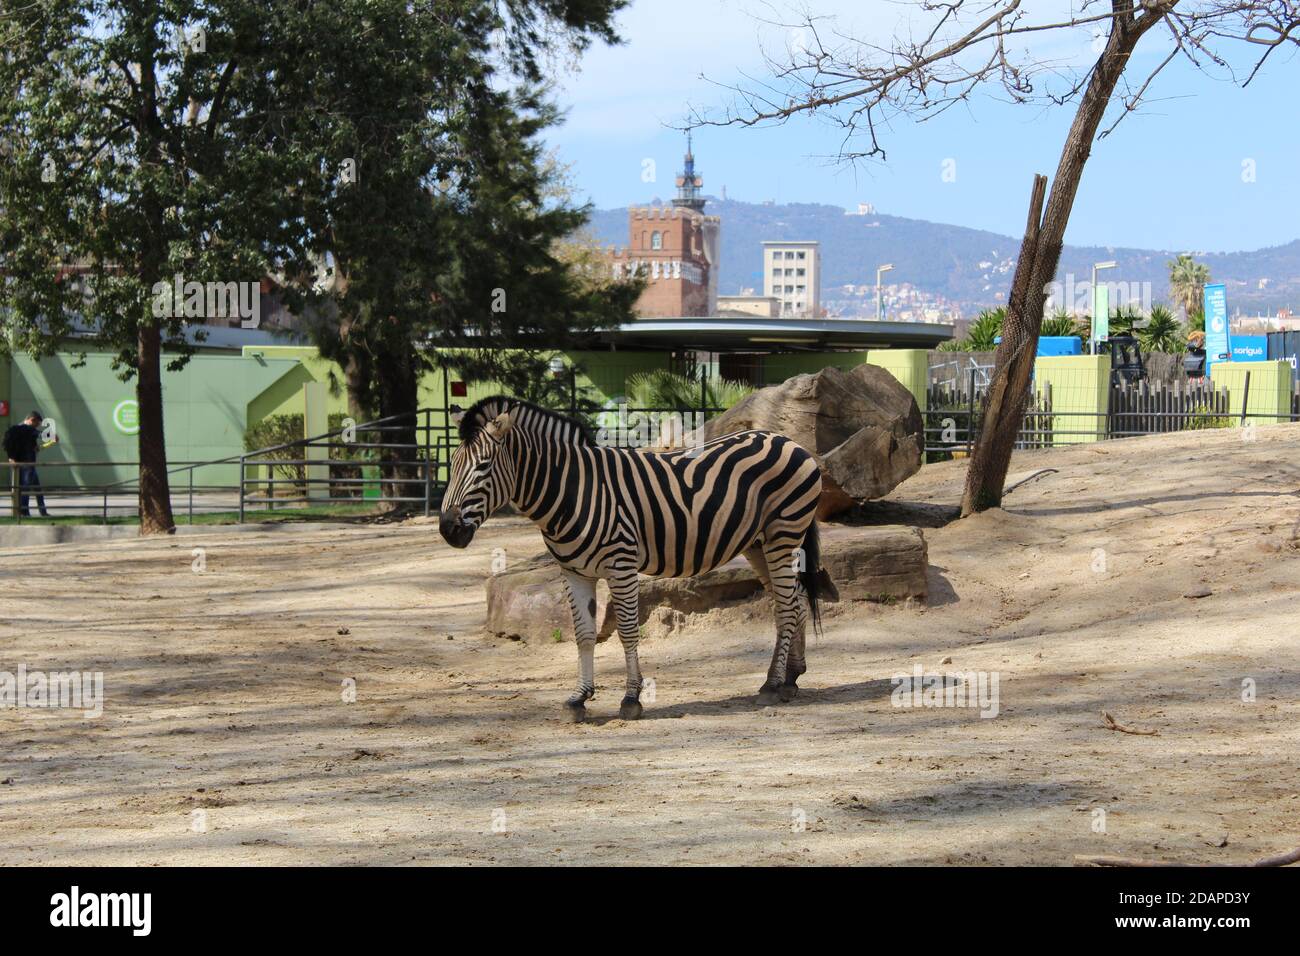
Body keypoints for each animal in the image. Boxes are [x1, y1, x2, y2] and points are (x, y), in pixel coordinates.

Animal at [439, 396, 838, 722]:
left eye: (483, 466)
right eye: (453, 465)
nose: (447, 529)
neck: (572, 490)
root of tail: (786, 439)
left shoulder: (621, 565)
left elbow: (628, 631)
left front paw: (631, 699)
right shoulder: (575, 572)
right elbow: (584, 635)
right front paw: (579, 699)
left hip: (783, 535)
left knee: (786, 606)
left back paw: (771, 684)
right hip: (757, 544)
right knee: (793, 603)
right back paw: (791, 678)